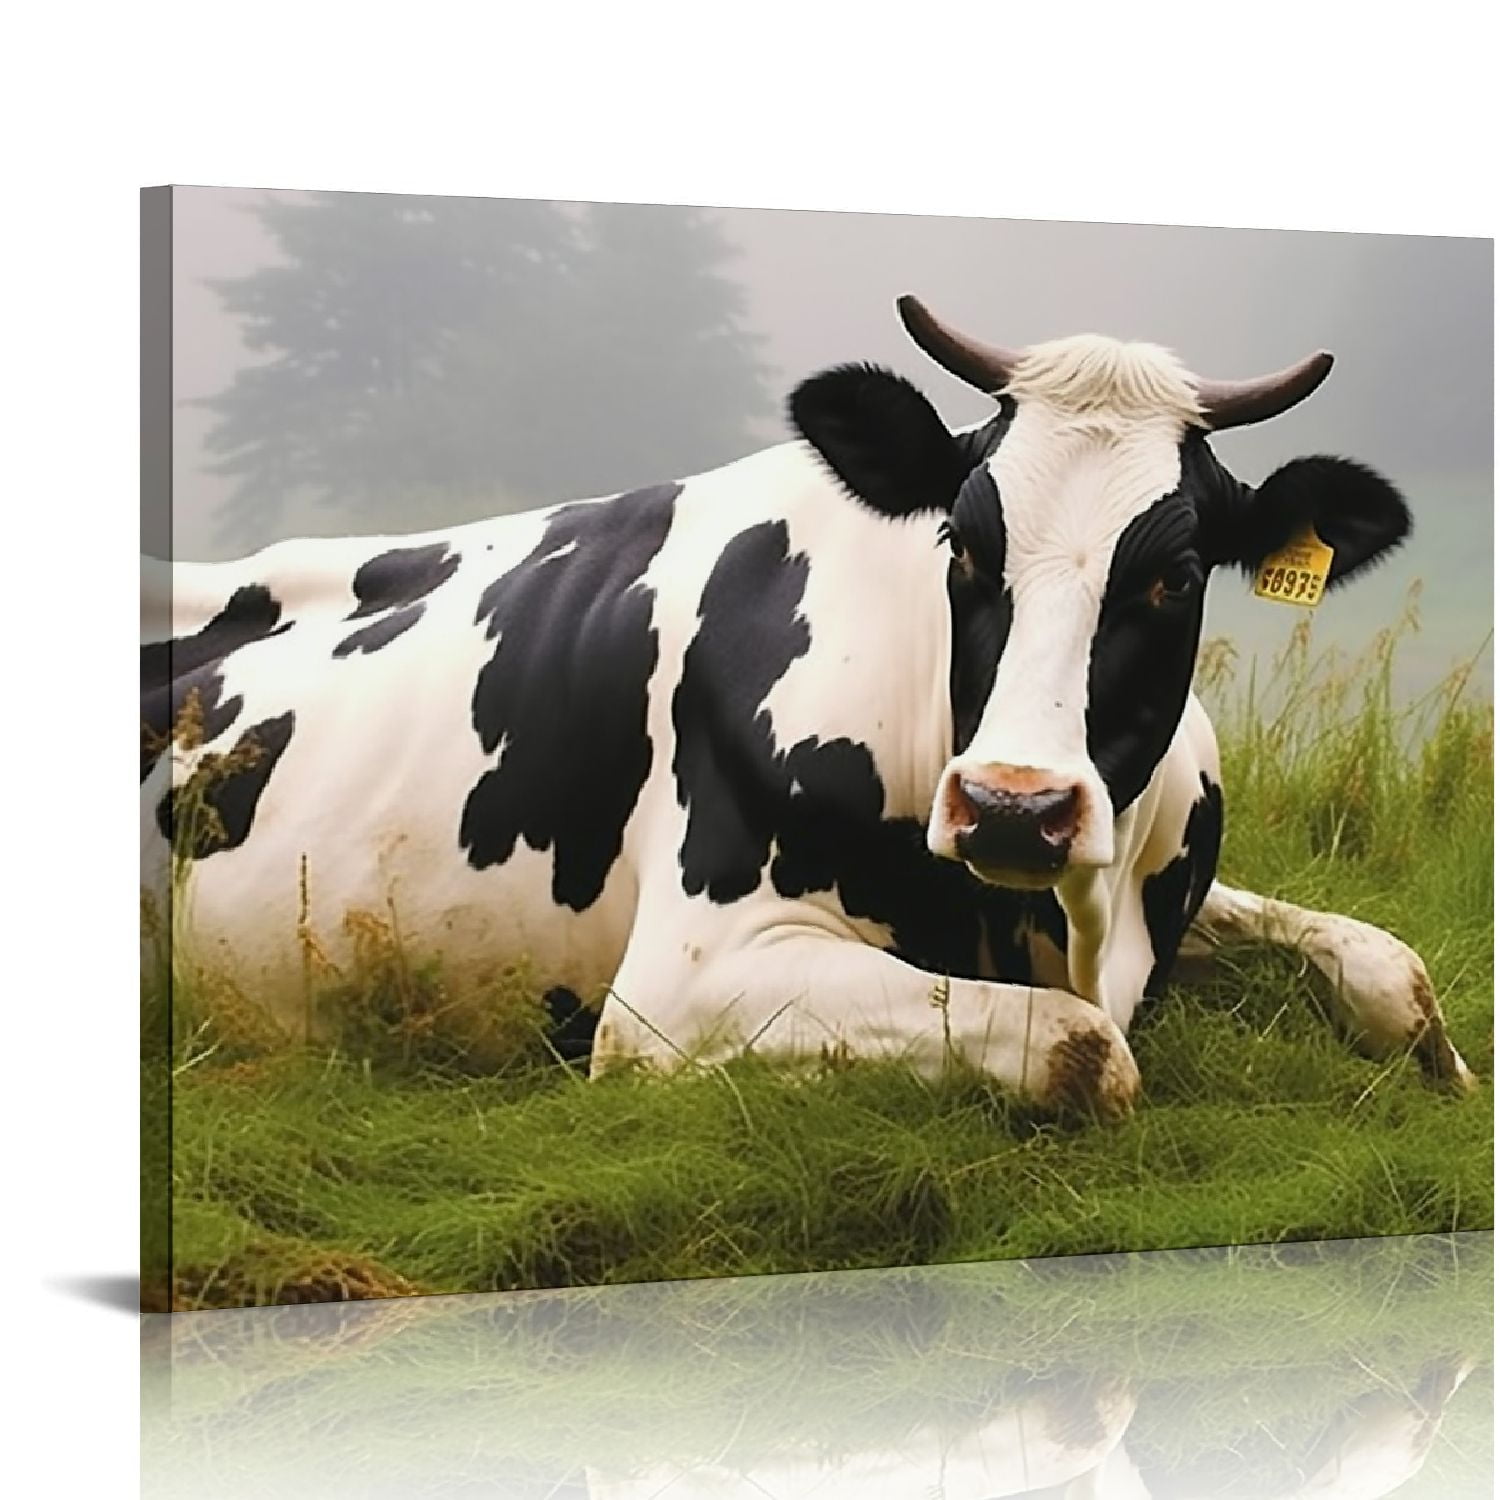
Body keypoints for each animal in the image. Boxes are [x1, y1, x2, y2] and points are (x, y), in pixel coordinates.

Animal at [140, 295, 1473, 1118]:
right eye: (963, 545)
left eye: (1175, 573)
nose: (1012, 808)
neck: (1079, 930)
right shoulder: (675, 996)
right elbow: (1087, 1049)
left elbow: (1395, 966)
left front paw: (1455, 1080)